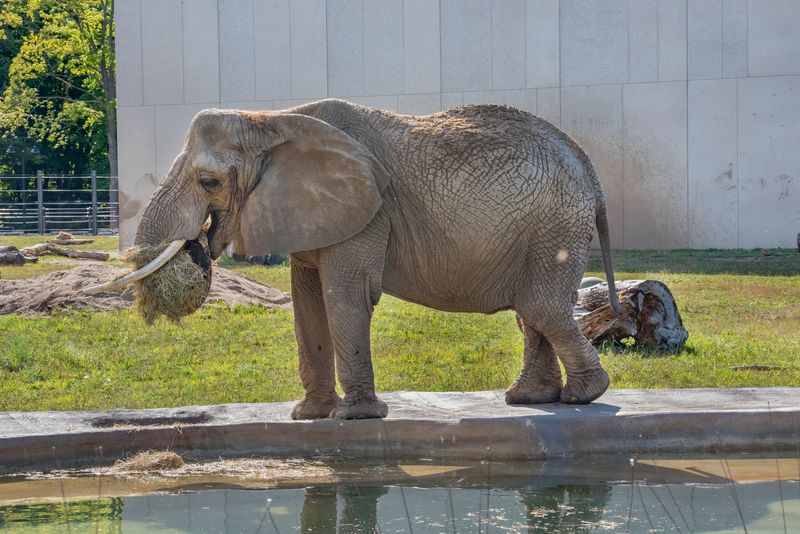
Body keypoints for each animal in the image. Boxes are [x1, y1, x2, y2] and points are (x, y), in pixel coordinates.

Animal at [115, 98, 621, 420]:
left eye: (209, 182)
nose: (196, 246)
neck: (271, 120)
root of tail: (591, 171)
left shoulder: (368, 211)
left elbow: (346, 294)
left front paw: (356, 417)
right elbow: (307, 301)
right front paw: (309, 416)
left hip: (554, 225)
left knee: (541, 305)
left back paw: (582, 396)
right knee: (532, 310)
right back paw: (529, 399)